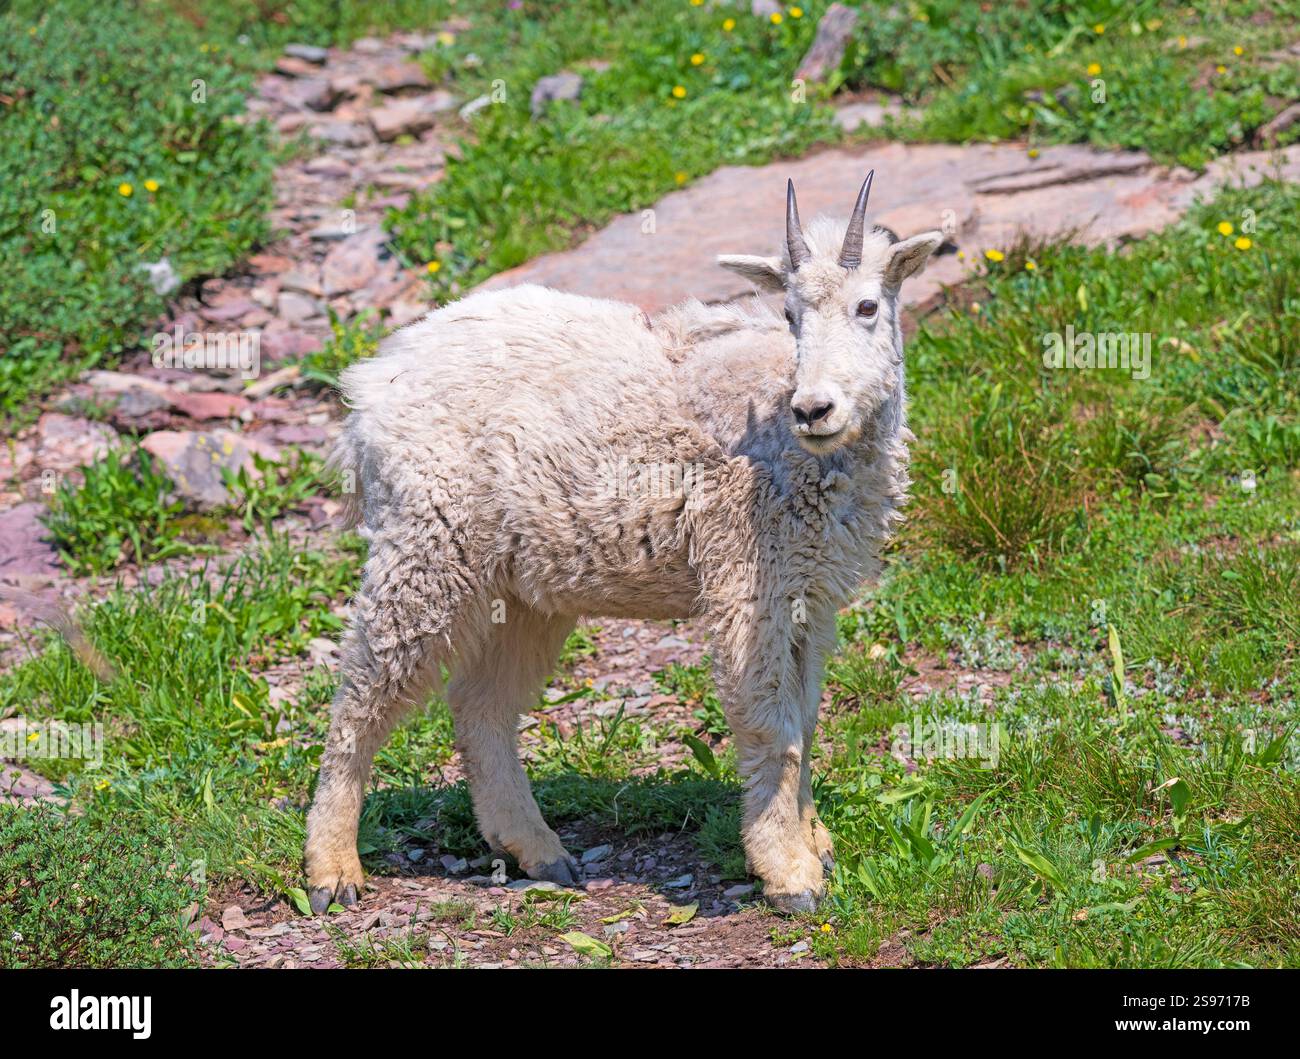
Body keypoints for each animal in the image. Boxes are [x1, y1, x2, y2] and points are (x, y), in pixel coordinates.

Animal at [305, 174, 944, 913]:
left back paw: (536, 848)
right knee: (363, 688)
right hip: (426, 544)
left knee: (480, 705)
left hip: (522, 588)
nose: (813, 409)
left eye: (868, 305)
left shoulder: (808, 589)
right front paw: (790, 872)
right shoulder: (748, 580)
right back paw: (331, 868)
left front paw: (816, 840)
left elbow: (807, 718)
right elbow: (770, 722)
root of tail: (369, 390)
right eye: (789, 314)